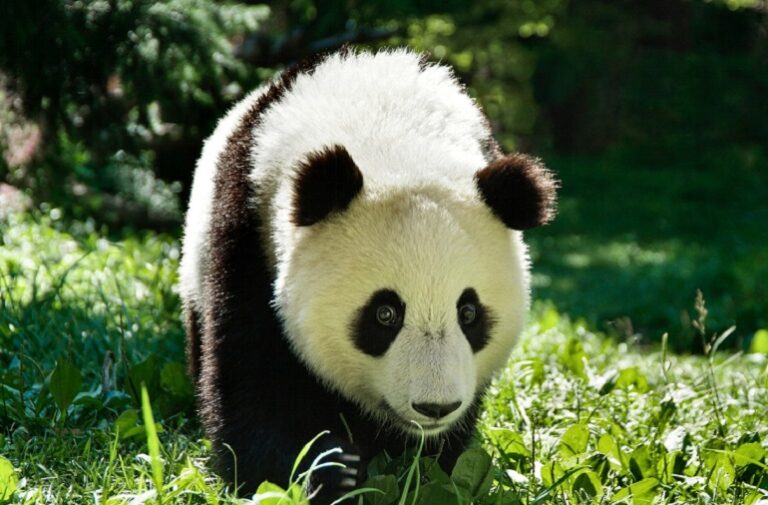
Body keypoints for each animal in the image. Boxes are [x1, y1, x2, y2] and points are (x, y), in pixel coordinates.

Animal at [179, 48, 557, 501]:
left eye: (469, 313)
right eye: (384, 314)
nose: (435, 407)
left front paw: (425, 468)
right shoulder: (248, 233)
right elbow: (253, 380)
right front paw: (325, 467)